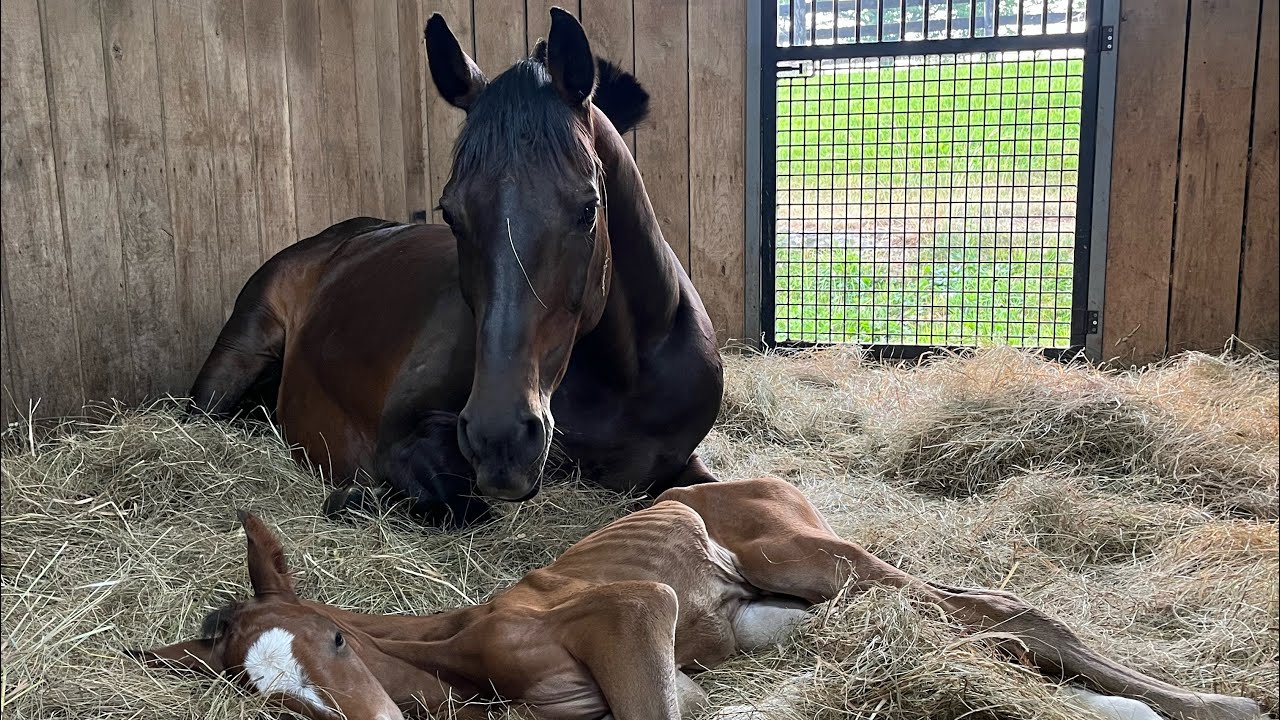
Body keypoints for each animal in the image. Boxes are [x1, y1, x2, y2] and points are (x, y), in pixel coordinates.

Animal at [186, 8, 723, 526]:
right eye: (450, 213)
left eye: (588, 209)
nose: (501, 438)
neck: (621, 377)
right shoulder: (401, 439)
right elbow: (458, 504)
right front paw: (354, 499)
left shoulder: (680, 463)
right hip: (236, 358)